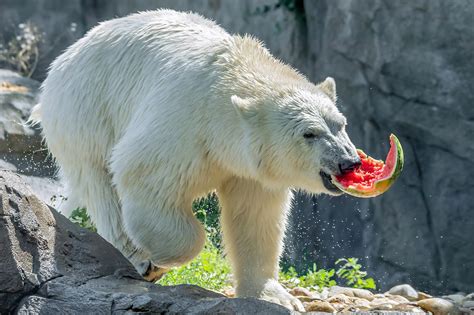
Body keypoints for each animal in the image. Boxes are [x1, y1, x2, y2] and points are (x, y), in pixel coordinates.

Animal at [30, 9, 360, 312]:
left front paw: (273, 295)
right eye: (309, 133)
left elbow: (255, 216)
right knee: (101, 185)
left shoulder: (250, 167)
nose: (348, 162)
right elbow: (142, 173)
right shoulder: (183, 124)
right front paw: (160, 259)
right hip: (87, 113)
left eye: (341, 124)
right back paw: (137, 257)